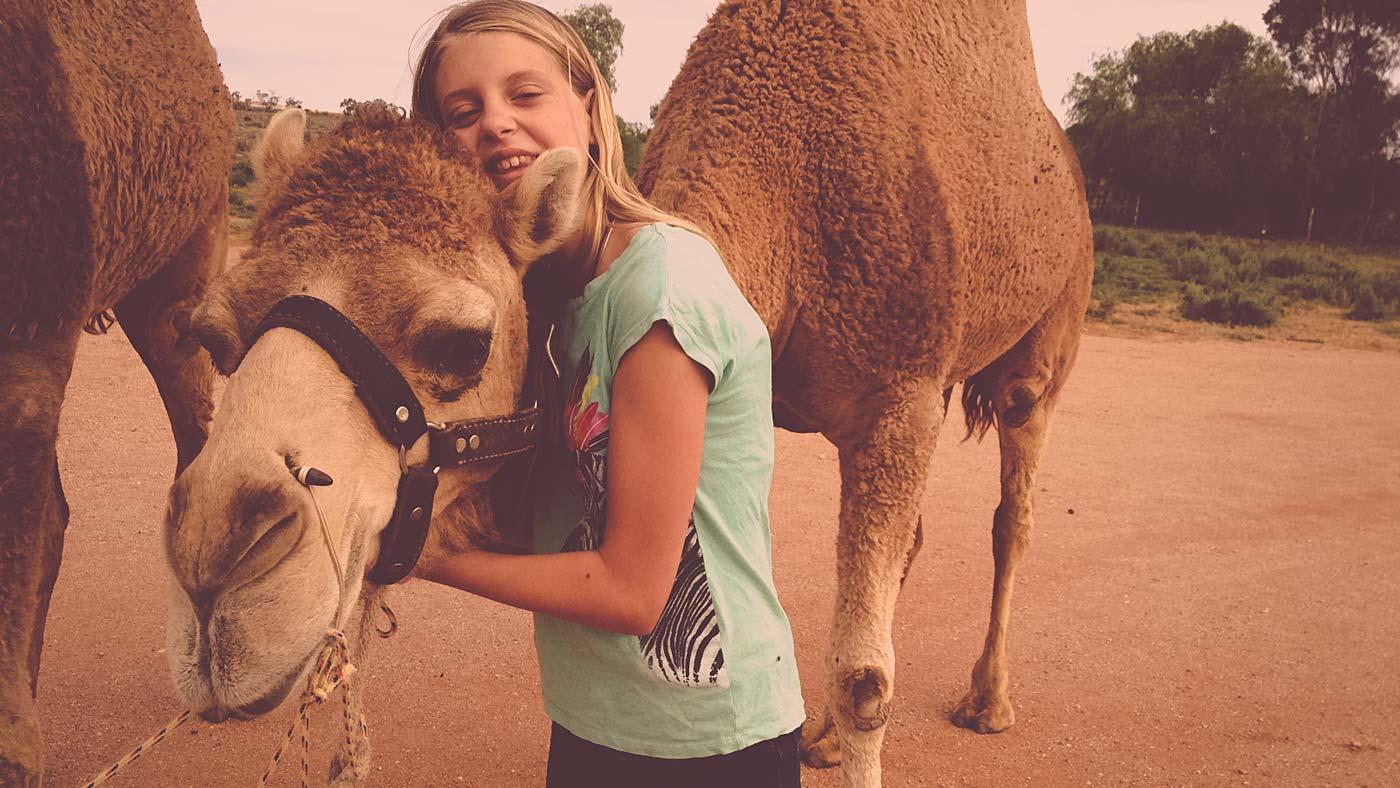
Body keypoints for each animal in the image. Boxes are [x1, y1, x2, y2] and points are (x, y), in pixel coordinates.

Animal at [166, 1, 1091, 785]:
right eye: (215, 336)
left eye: (462, 342)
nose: (212, 564)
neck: (795, 189)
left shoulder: (902, 391)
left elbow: (867, 678)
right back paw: (825, 736)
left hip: (1046, 339)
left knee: (1012, 511)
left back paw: (988, 700)